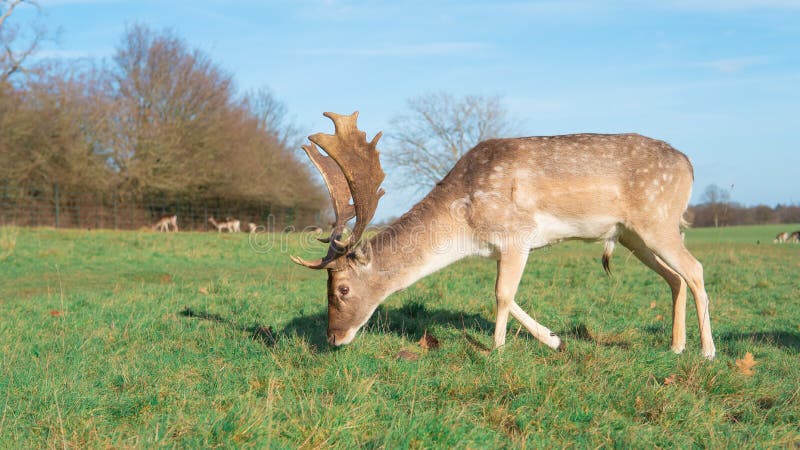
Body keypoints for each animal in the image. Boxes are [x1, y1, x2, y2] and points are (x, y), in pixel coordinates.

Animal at [290, 112, 716, 359]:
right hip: (633, 236)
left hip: (659, 221)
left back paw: (707, 352)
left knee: (695, 270)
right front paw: (555, 340)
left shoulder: (517, 234)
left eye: (342, 288)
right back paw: (675, 346)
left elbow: (501, 295)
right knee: (676, 278)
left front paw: (496, 349)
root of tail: (690, 165)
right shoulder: (500, 249)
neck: (464, 228)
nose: (332, 338)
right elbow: (507, 296)